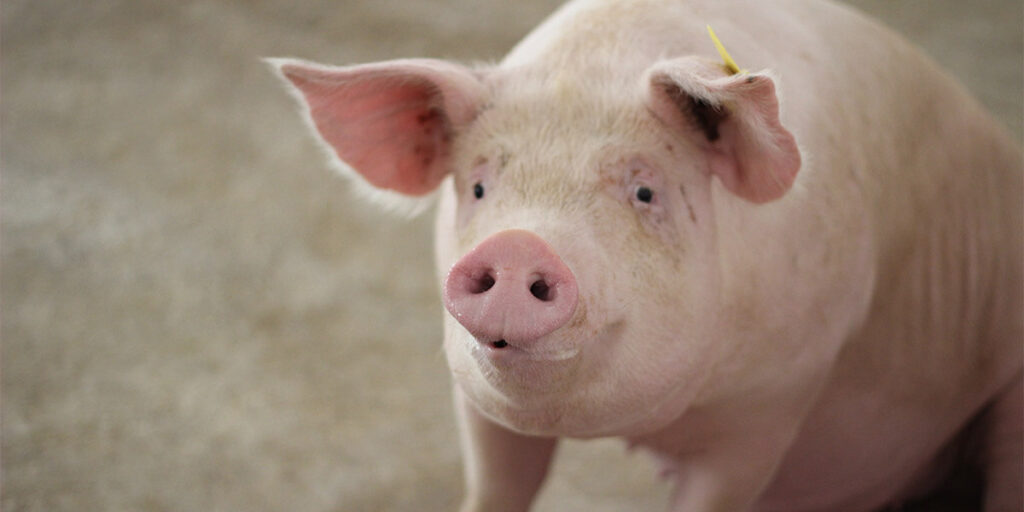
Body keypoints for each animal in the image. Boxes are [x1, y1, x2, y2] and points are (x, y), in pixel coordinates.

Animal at [268, 0, 1023, 510]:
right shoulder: (475, 400)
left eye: (644, 190)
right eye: (480, 185)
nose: (519, 244)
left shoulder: (774, 402)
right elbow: (498, 487)